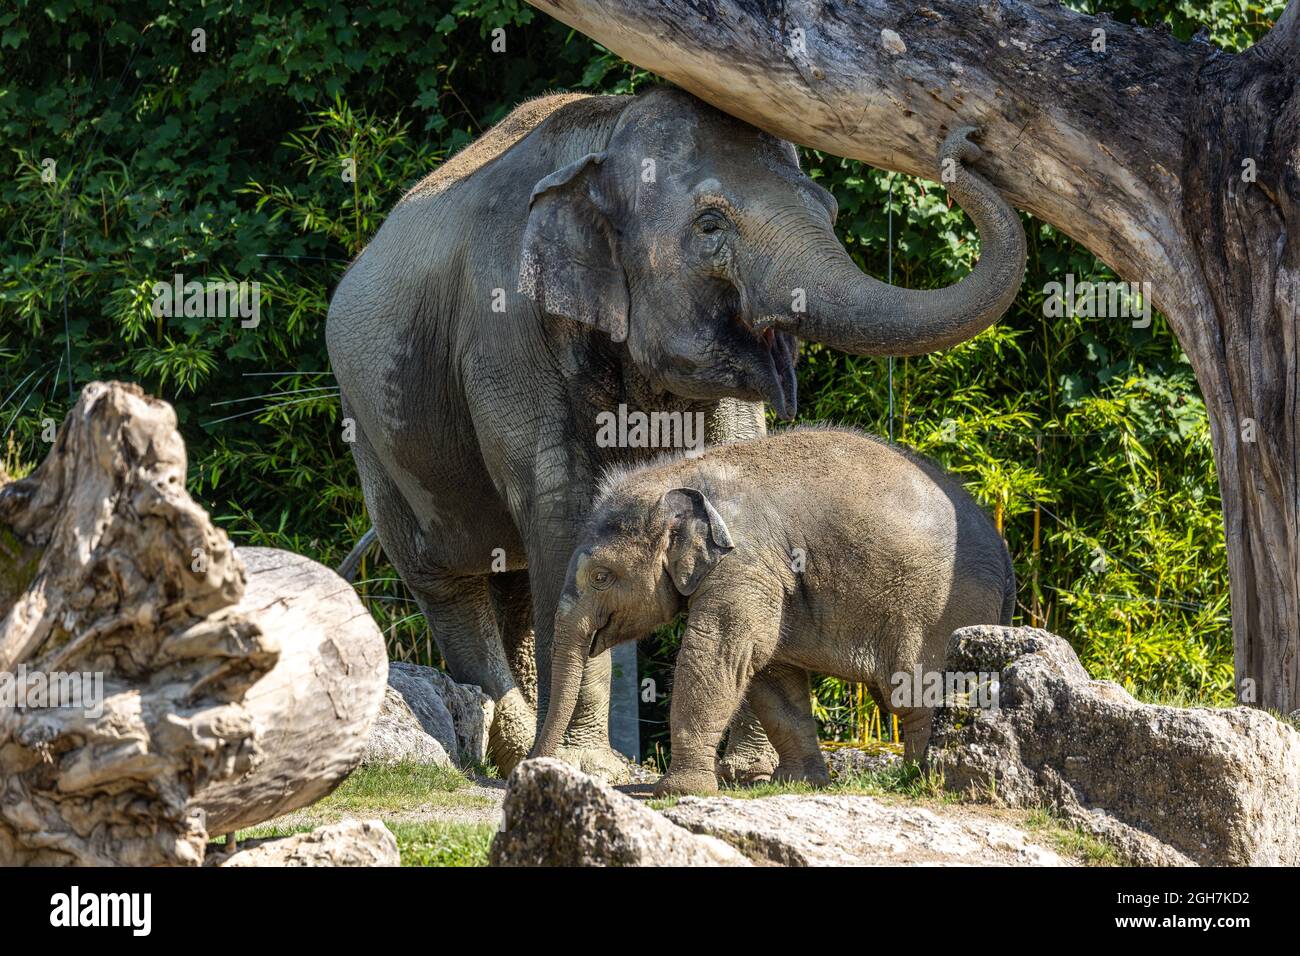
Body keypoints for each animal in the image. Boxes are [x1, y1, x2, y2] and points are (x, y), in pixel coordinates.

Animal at [533, 427, 1016, 796]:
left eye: (600, 576)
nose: (532, 764)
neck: (679, 474)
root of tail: (1006, 556)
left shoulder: (746, 563)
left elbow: (719, 653)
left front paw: (676, 791)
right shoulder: (766, 577)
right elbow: (770, 672)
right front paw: (798, 784)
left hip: (943, 610)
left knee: (915, 692)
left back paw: (920, 780)